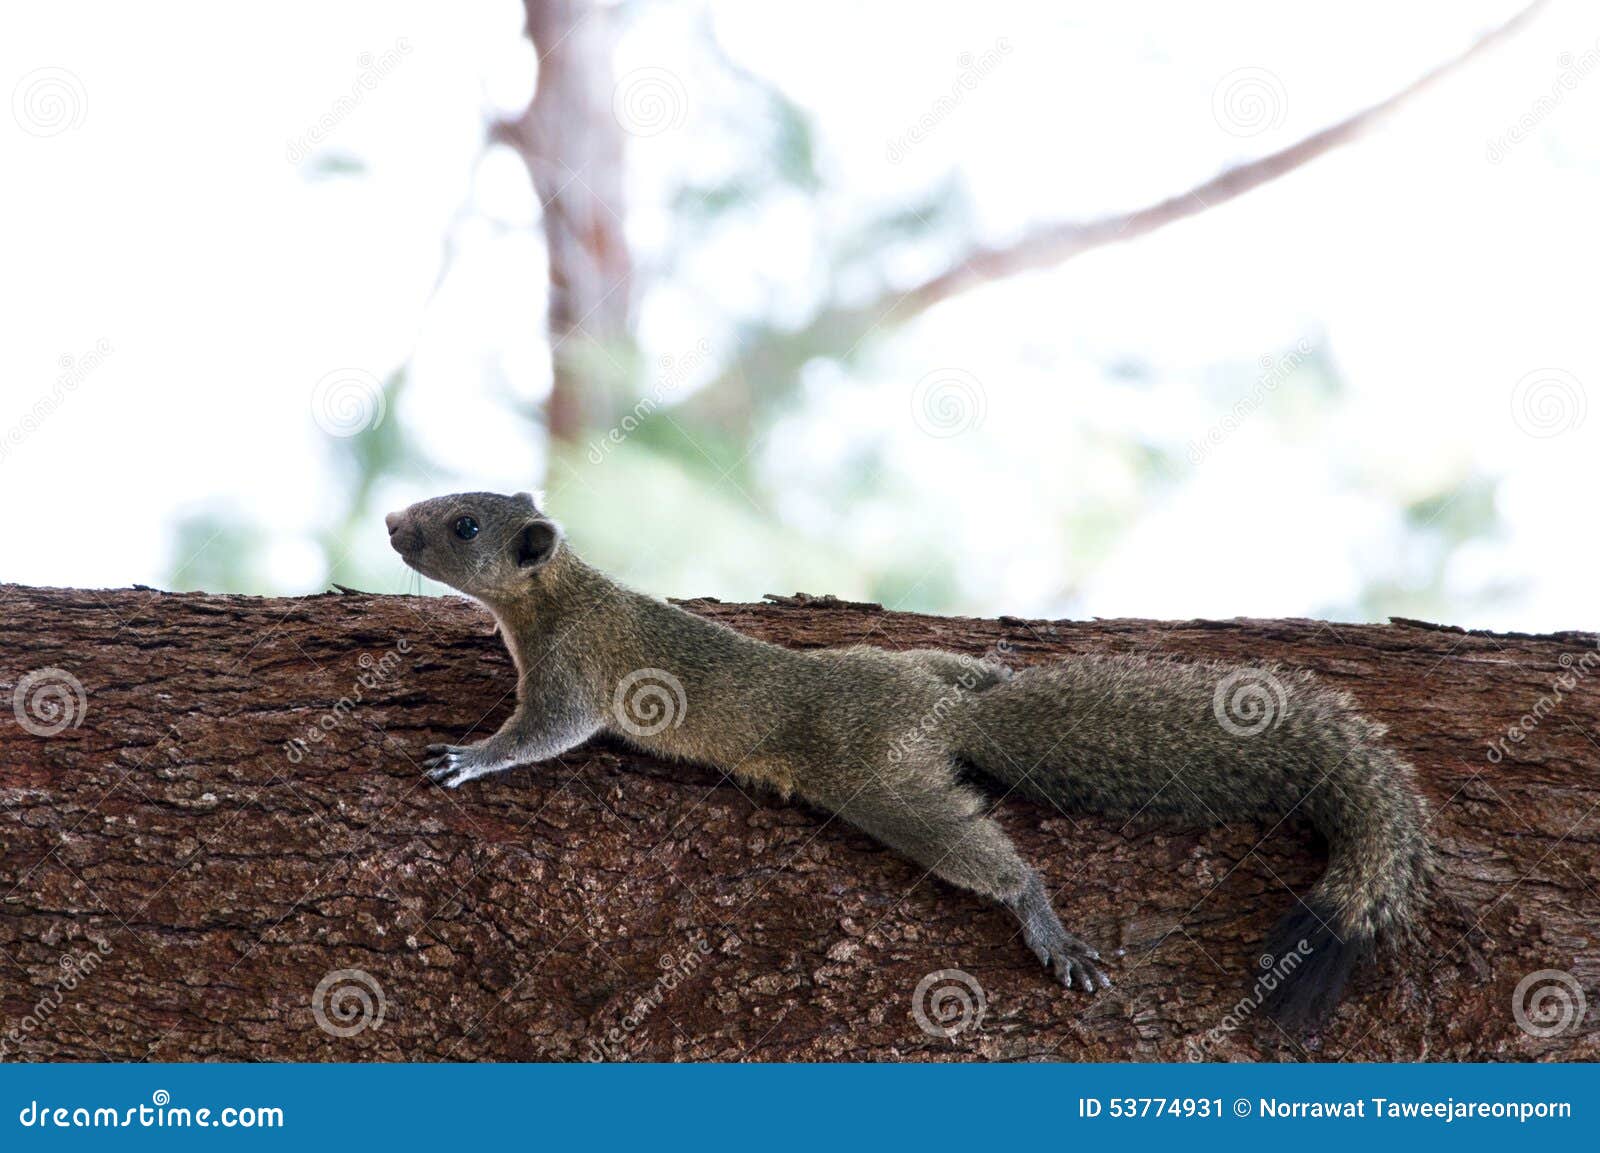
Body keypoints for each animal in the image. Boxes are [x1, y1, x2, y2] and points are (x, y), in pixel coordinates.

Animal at [386, 490, 1433, 1028]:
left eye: (465, 526)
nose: (396, 523)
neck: (556, 591)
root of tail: (945, 716)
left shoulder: (574, 677)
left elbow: (544, 734)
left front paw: (470, 758)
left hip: (884, 785)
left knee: (993, 860)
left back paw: (1046, 926)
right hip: (920, 680)